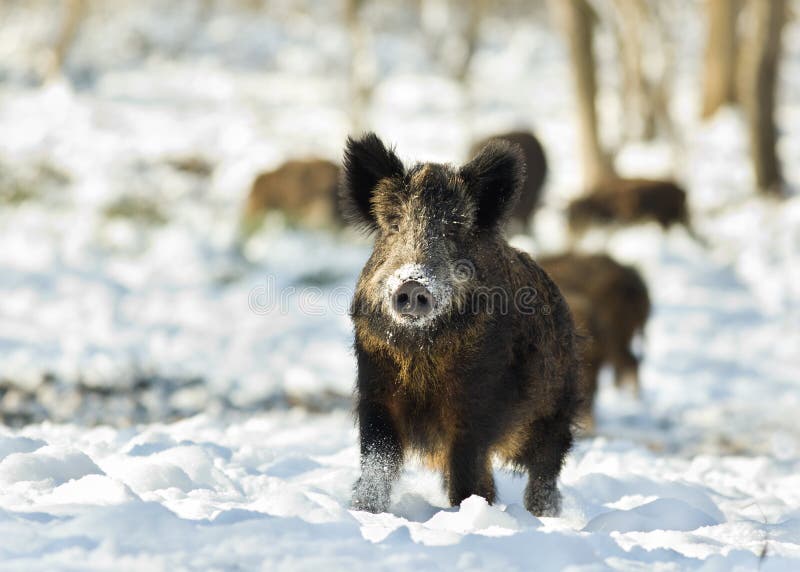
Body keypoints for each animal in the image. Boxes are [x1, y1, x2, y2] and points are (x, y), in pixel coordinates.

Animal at [341, 133, 579, 516]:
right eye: (394, 225)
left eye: (452, 229)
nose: (413, 284)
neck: (421, 351)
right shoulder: (375, 390)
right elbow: (378, 458)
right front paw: (364, 510)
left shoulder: (476, 403)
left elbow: (468, 471)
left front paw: (469, 512)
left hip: (556, 407)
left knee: (545, 469)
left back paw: (543, 514)